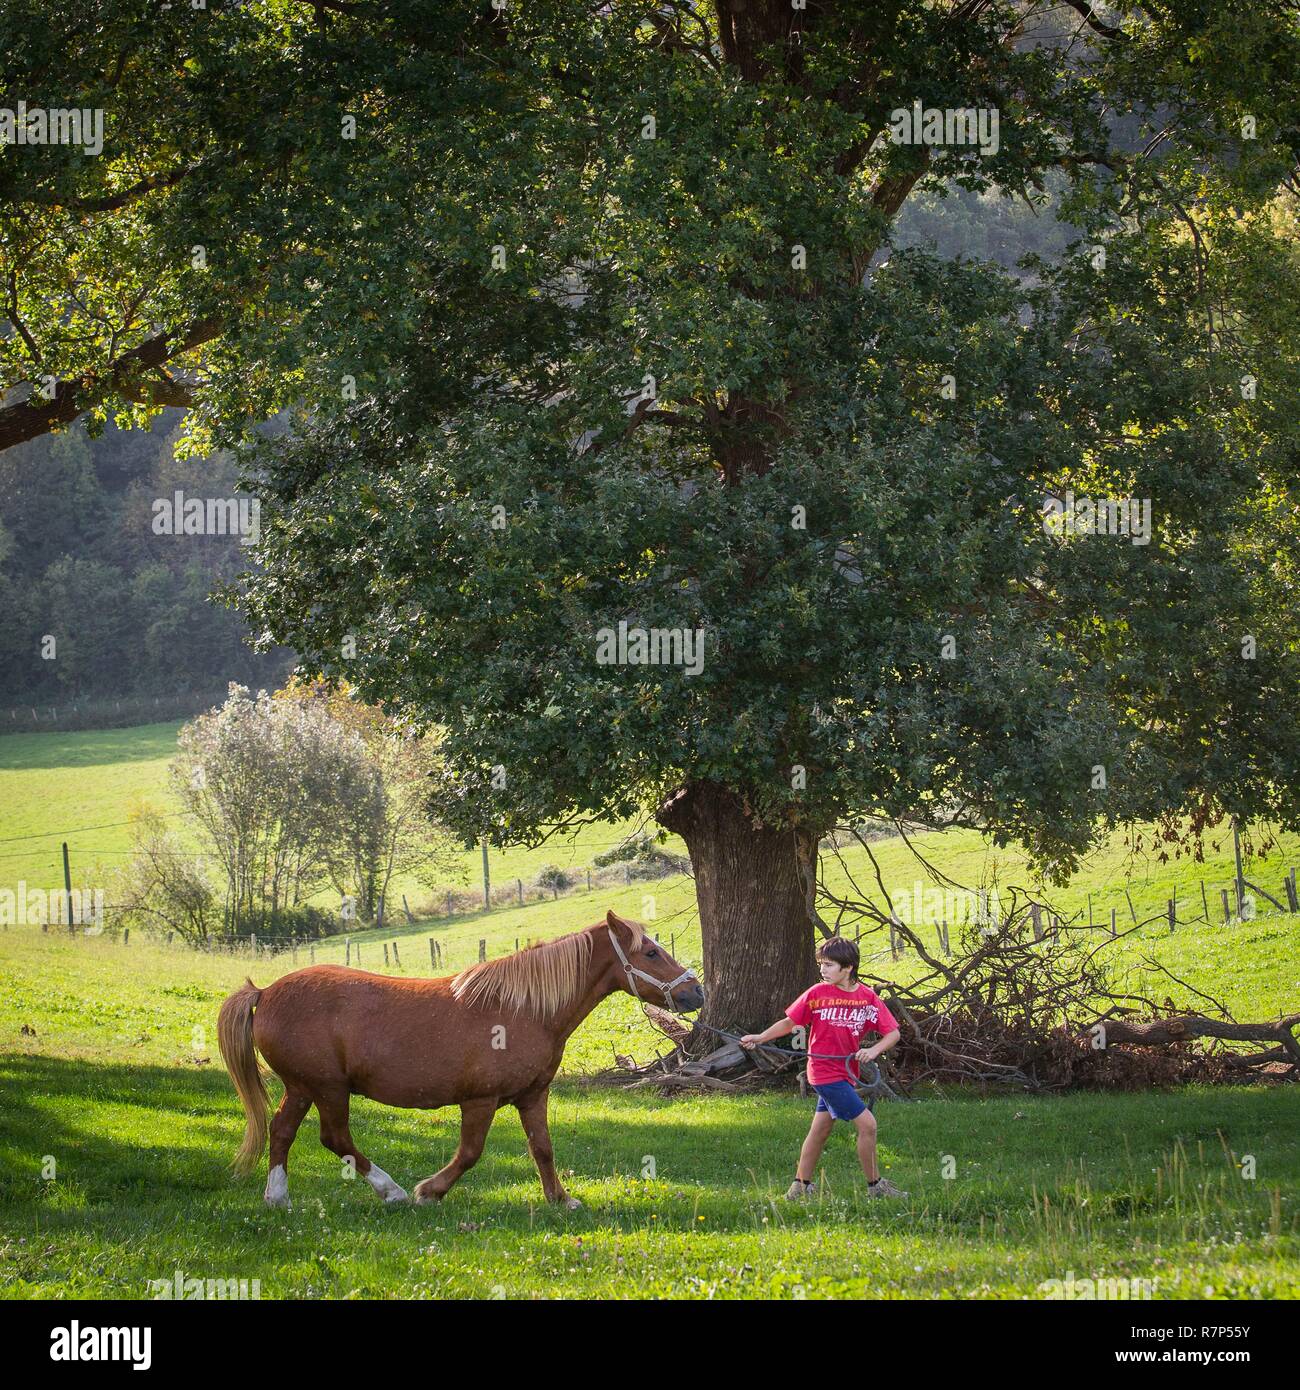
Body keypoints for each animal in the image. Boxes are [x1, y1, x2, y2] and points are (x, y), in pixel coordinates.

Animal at [216, 910, 703, 1209]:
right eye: (651, 952)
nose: (695, 992)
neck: (522, 1009)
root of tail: (265, 992)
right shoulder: (480, 1101)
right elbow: (470, 1153)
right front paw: (430, 1191)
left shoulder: (533, 1096)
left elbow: (543, 1149)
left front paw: (561, 1199)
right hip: (327, 1089)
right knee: (335, 1139)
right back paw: (392, 1191)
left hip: (302, 1087)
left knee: (282, 1132)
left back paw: (278, 1197)